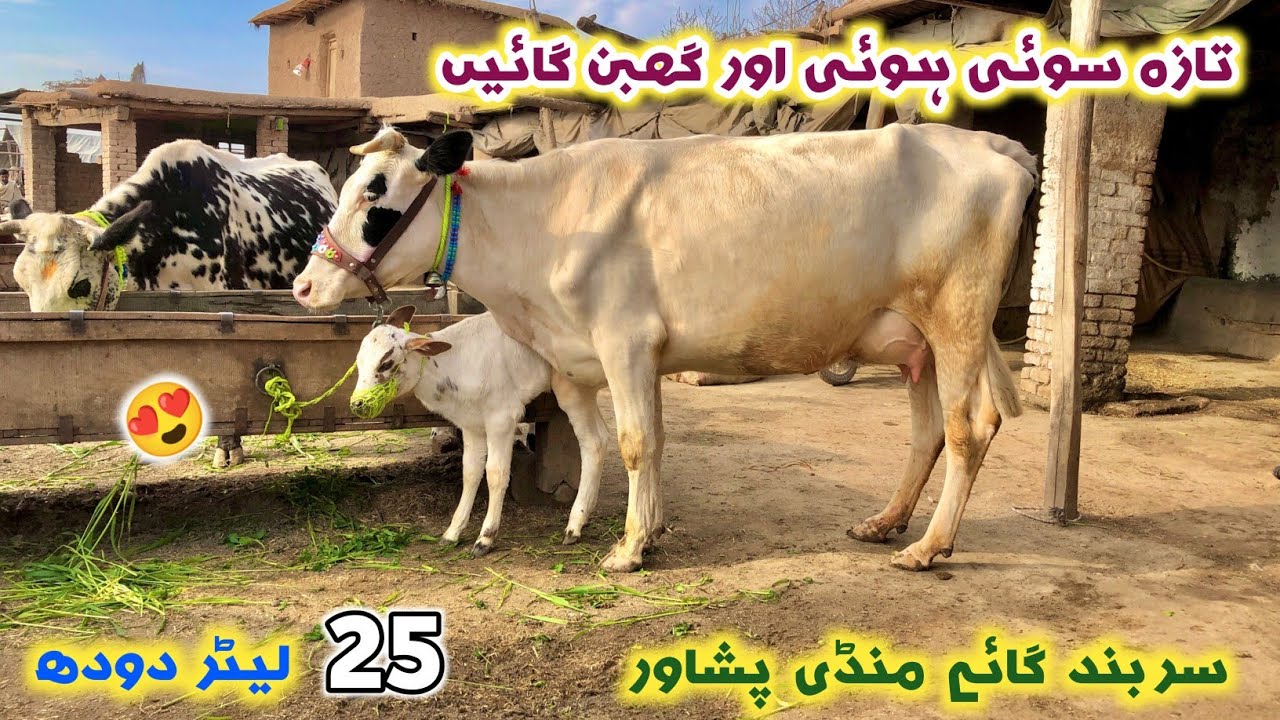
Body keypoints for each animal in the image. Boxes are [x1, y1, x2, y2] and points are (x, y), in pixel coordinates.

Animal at [350, 306, 608, 555]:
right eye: (358, 361)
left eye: (386, 363)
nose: (357, 404)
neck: (454, 363)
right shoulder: (471, 425)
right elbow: (471, 472)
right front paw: (452, 532)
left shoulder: (502, 418)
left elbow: (495, 473)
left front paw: (486, 537)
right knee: (603, 435)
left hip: (572, 390)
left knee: (593, 443)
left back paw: (574, 524)